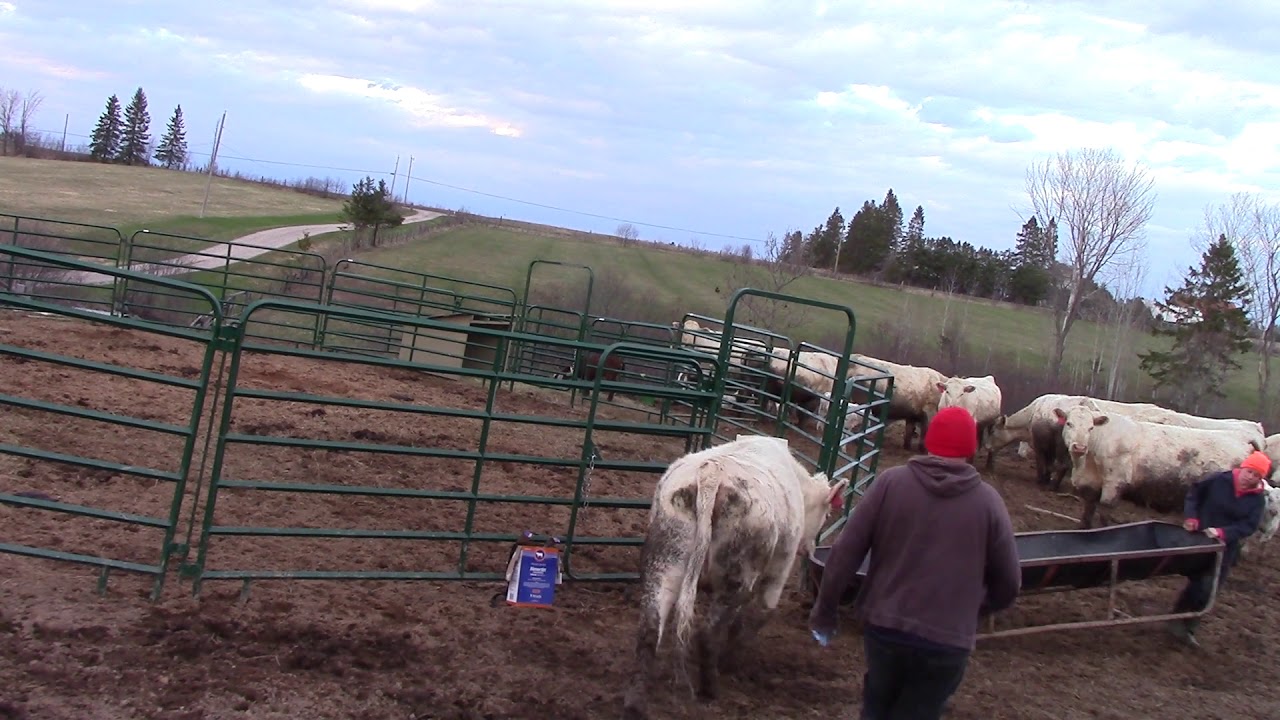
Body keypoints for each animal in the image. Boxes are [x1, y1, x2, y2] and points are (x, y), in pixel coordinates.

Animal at [621, 436, 847, 720]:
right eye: (827, 514)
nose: (810, 549)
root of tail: (711, 473)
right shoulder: (778, 571)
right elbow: (759, 615)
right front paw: (732, 664)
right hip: (737, 578)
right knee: (708, 634)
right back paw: (710, 689)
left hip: (665, 562)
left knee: (650, 628)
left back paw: (635, 702)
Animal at [1054, 403, 1259, 529]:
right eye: (1069, 423)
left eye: (1091, 428)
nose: (1079, 447)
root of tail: (1242, 438)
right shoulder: (1090, 483)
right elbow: (1088, 509)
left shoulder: (1115, 482)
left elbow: (1104, 511)